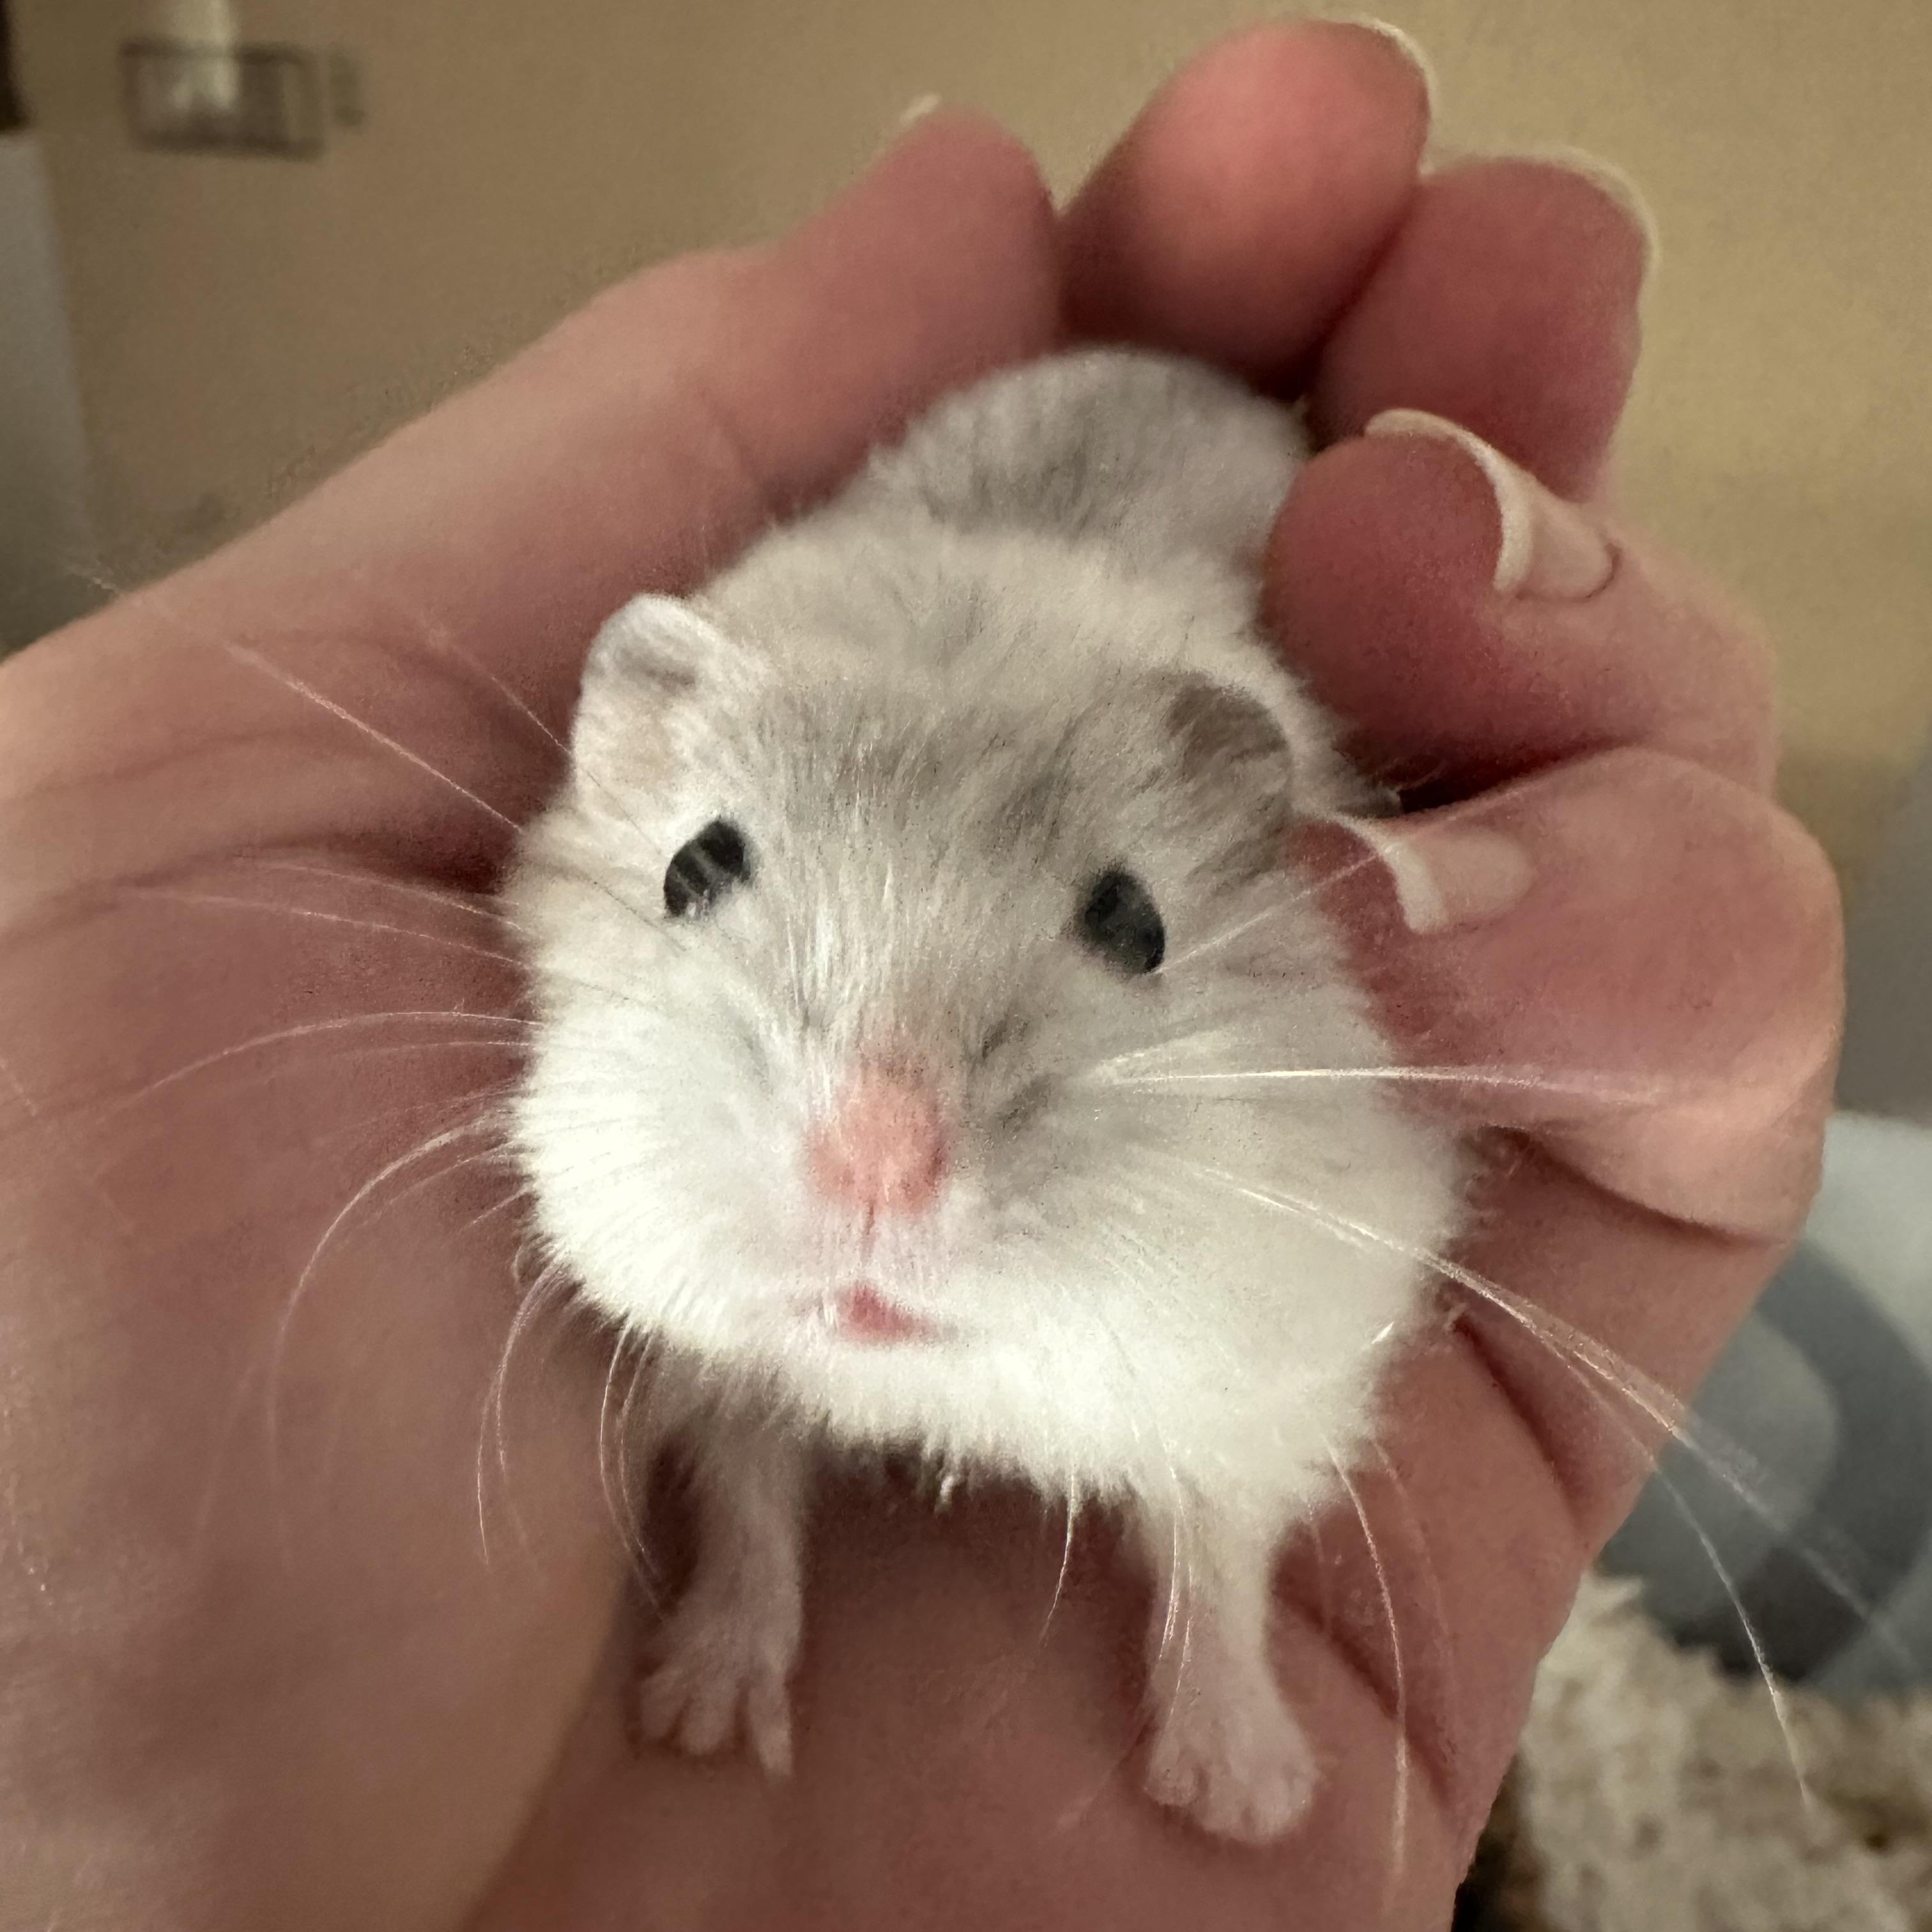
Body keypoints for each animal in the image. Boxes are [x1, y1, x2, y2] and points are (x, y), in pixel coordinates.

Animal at [504, 348, 1467, 1843]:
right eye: (690, 869)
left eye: (1135, 924)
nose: (875, 1162)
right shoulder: (715, 1354)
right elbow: (746, 1501)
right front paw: (703, 1724)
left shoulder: (1279, 1367)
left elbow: (1219, 1554)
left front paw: (1241, 1804)